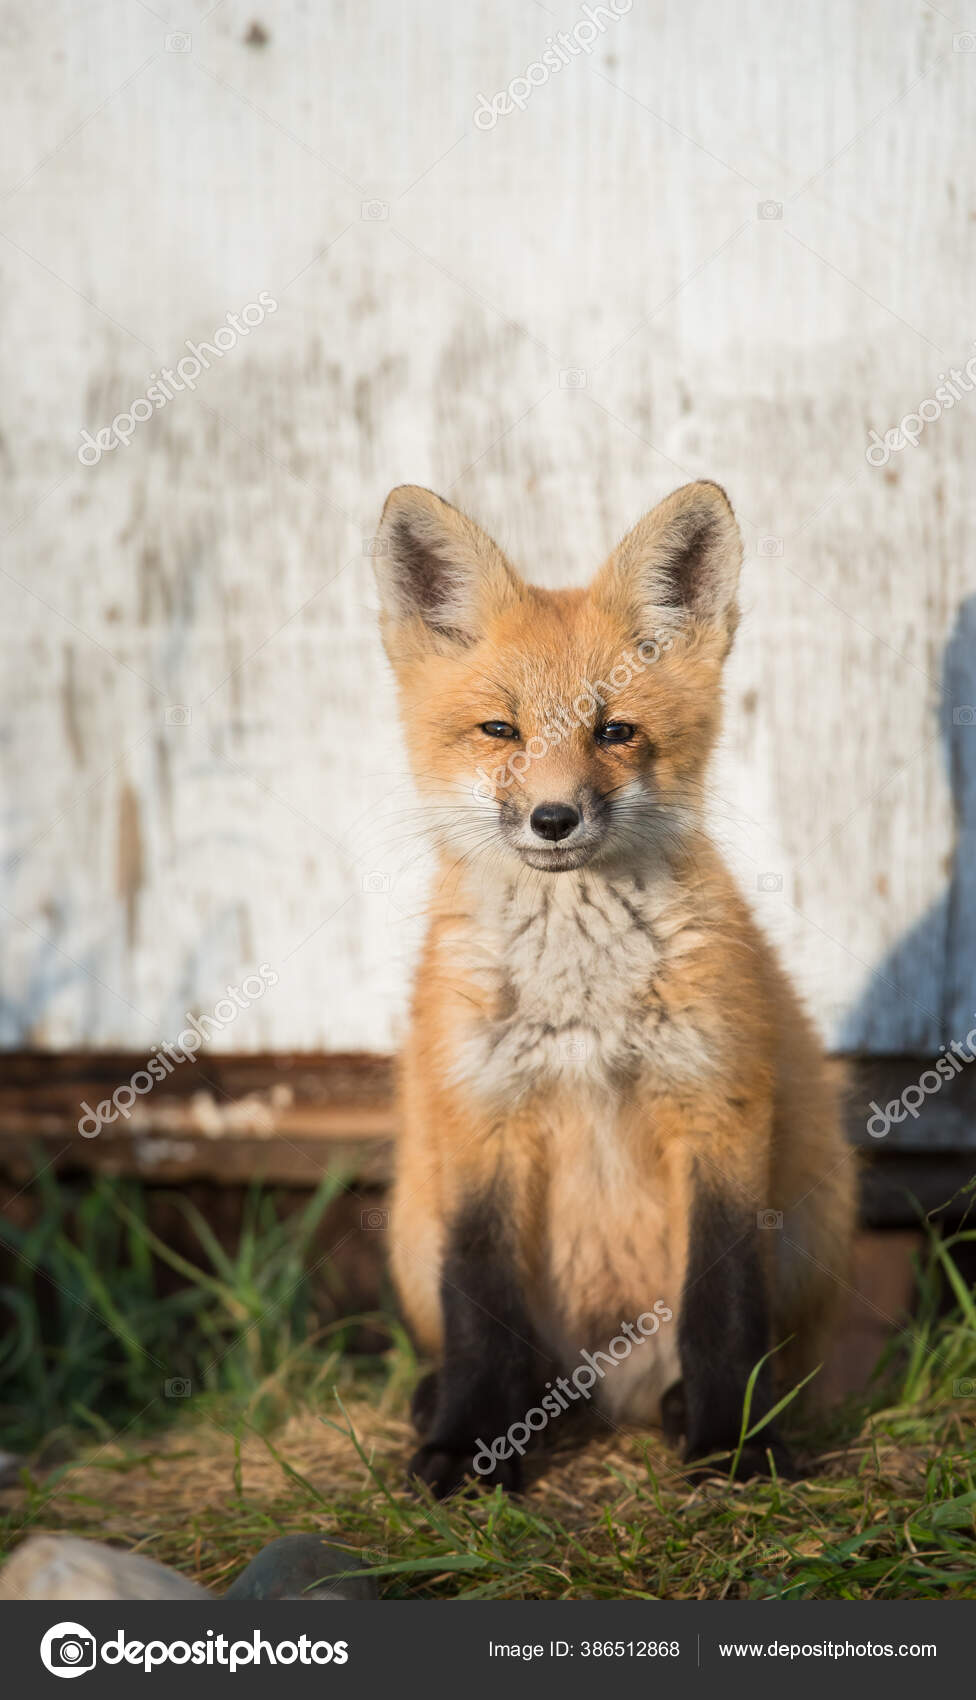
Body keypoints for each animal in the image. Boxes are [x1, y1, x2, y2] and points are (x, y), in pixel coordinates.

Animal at [372, 478, 856, 1497]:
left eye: (615, 732)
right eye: (502, 731)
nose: (553, 818)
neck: (582, 1006)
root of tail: (606, 1385)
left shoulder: (717, 1108)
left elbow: (721, 1307)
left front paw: (733, 1443)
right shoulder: (478, 1121)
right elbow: (480, 1309)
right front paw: (469, 1447)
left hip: (816, 1215)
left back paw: (691, 1411)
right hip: (412, 1222)